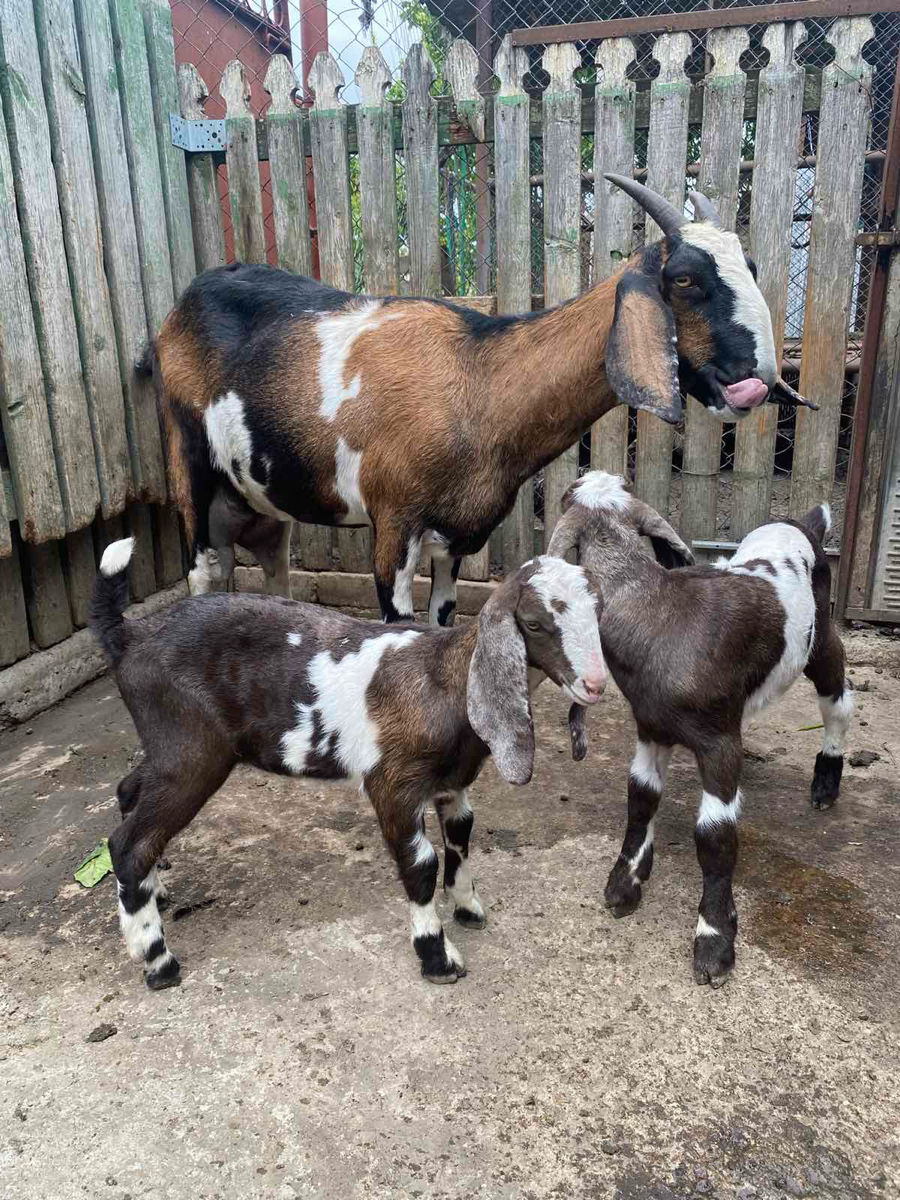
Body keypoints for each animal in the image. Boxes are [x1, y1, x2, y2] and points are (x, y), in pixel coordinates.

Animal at [90, 538, 606, 990]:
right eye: (534, 624)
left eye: (597, 611)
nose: (596, 684)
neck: (446, 679)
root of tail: (129, 635)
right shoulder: (393, 785)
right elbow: (421, 865)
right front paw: (437, 958)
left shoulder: (451, 784)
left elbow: (460, 839)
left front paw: (467, 908)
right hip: (190, 750)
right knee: (128, 843)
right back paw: (157, 959)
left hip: (168, 748)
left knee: (129, 793)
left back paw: (153, 892)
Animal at [139, 177, 814, 623]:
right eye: (684, 278)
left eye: (752, 265)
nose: (755, 380)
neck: (479, 384)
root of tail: (175, 313)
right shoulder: (393, 527)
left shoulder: (460, 536)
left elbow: (441, 620)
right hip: (188, 459)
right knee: (201, 567)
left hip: (259, 493)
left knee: (269, 568)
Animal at [548, 471, 852, 988]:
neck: (660, 616)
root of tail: (802, 522)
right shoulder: (650, 730)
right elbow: (640, 799)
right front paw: (624, 884)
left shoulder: (719, 742)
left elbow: (714, 836)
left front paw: (713, 942)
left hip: (823, 637)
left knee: (839, 701)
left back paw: (826, 783)